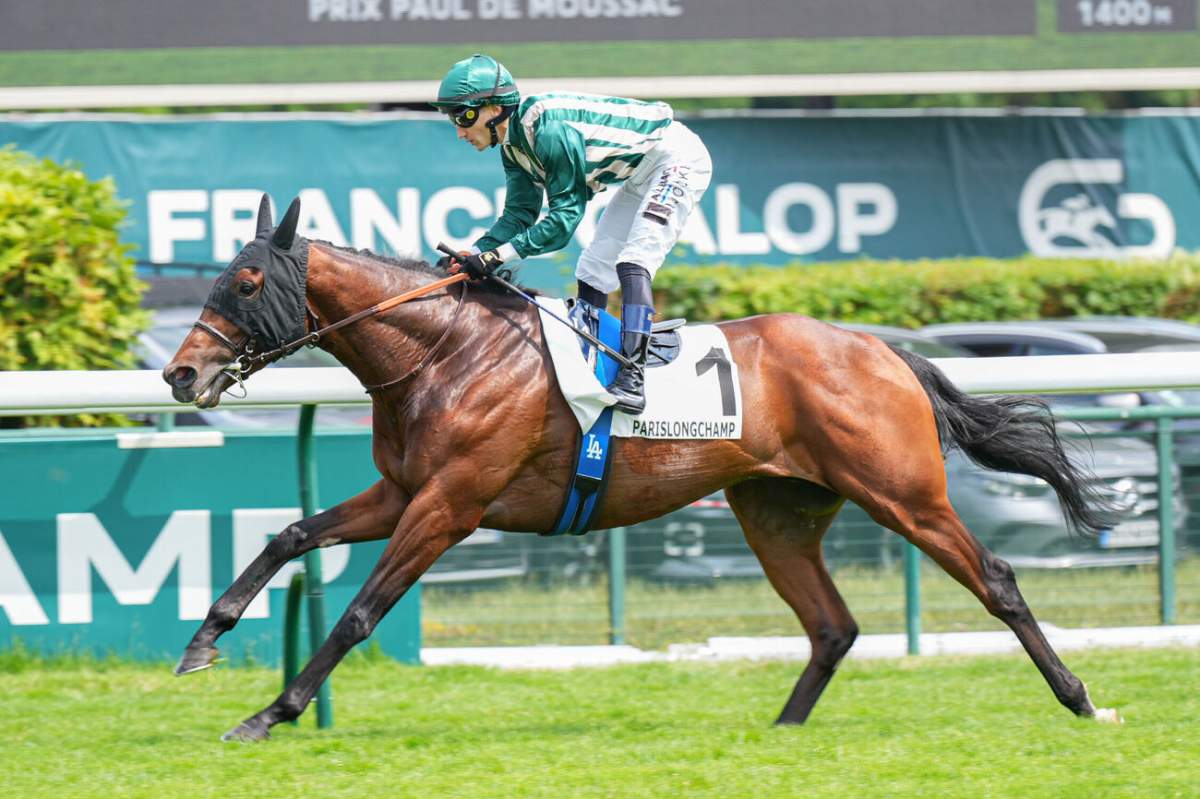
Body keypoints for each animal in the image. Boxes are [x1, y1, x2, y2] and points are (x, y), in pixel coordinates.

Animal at [164, 195, 1121, 742]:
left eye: (246, 282)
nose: (180, 373)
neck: (447, 349)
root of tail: (883, 350)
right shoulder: (402, 490)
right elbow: (290, 534)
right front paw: (205, 641)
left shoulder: (449, 503)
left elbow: (361, 611)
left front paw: (270, 712)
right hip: (776, 511)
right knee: (832, 624)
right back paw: (780, 732)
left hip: (903, 493)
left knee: (996, 580)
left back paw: (1081, 698)